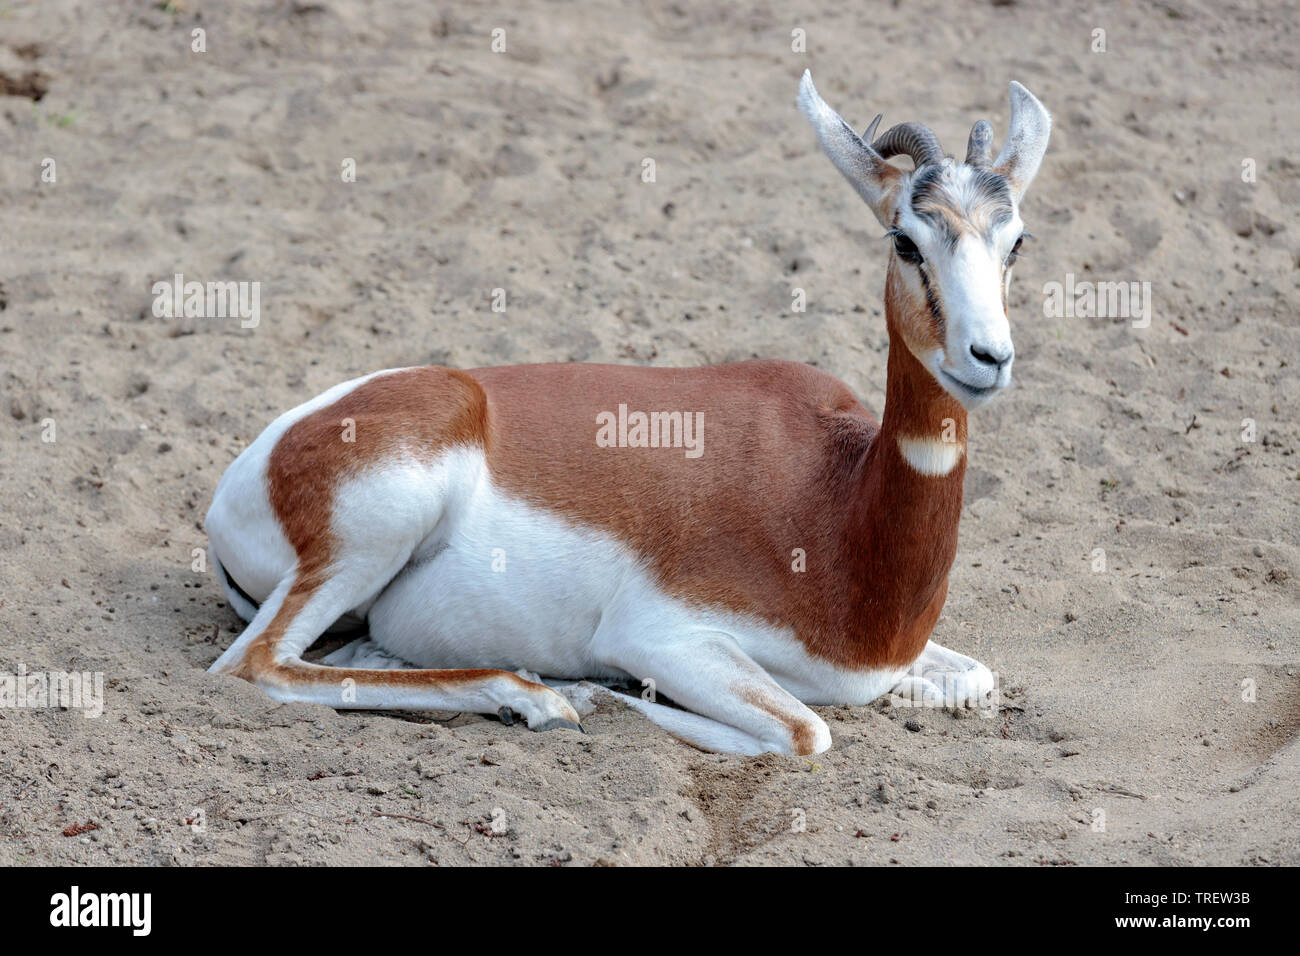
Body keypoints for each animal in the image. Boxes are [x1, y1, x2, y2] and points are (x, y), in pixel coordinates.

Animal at [204, 71, 1050, 755]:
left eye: (1015, 242)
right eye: (906, 240)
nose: (988, 358)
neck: (839, 504)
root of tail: (245, 476)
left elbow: (972, 676)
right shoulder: (662, 638)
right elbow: (806, 731)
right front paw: (597, 690)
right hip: (368, 541)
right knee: (254, 665)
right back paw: (537, 699)